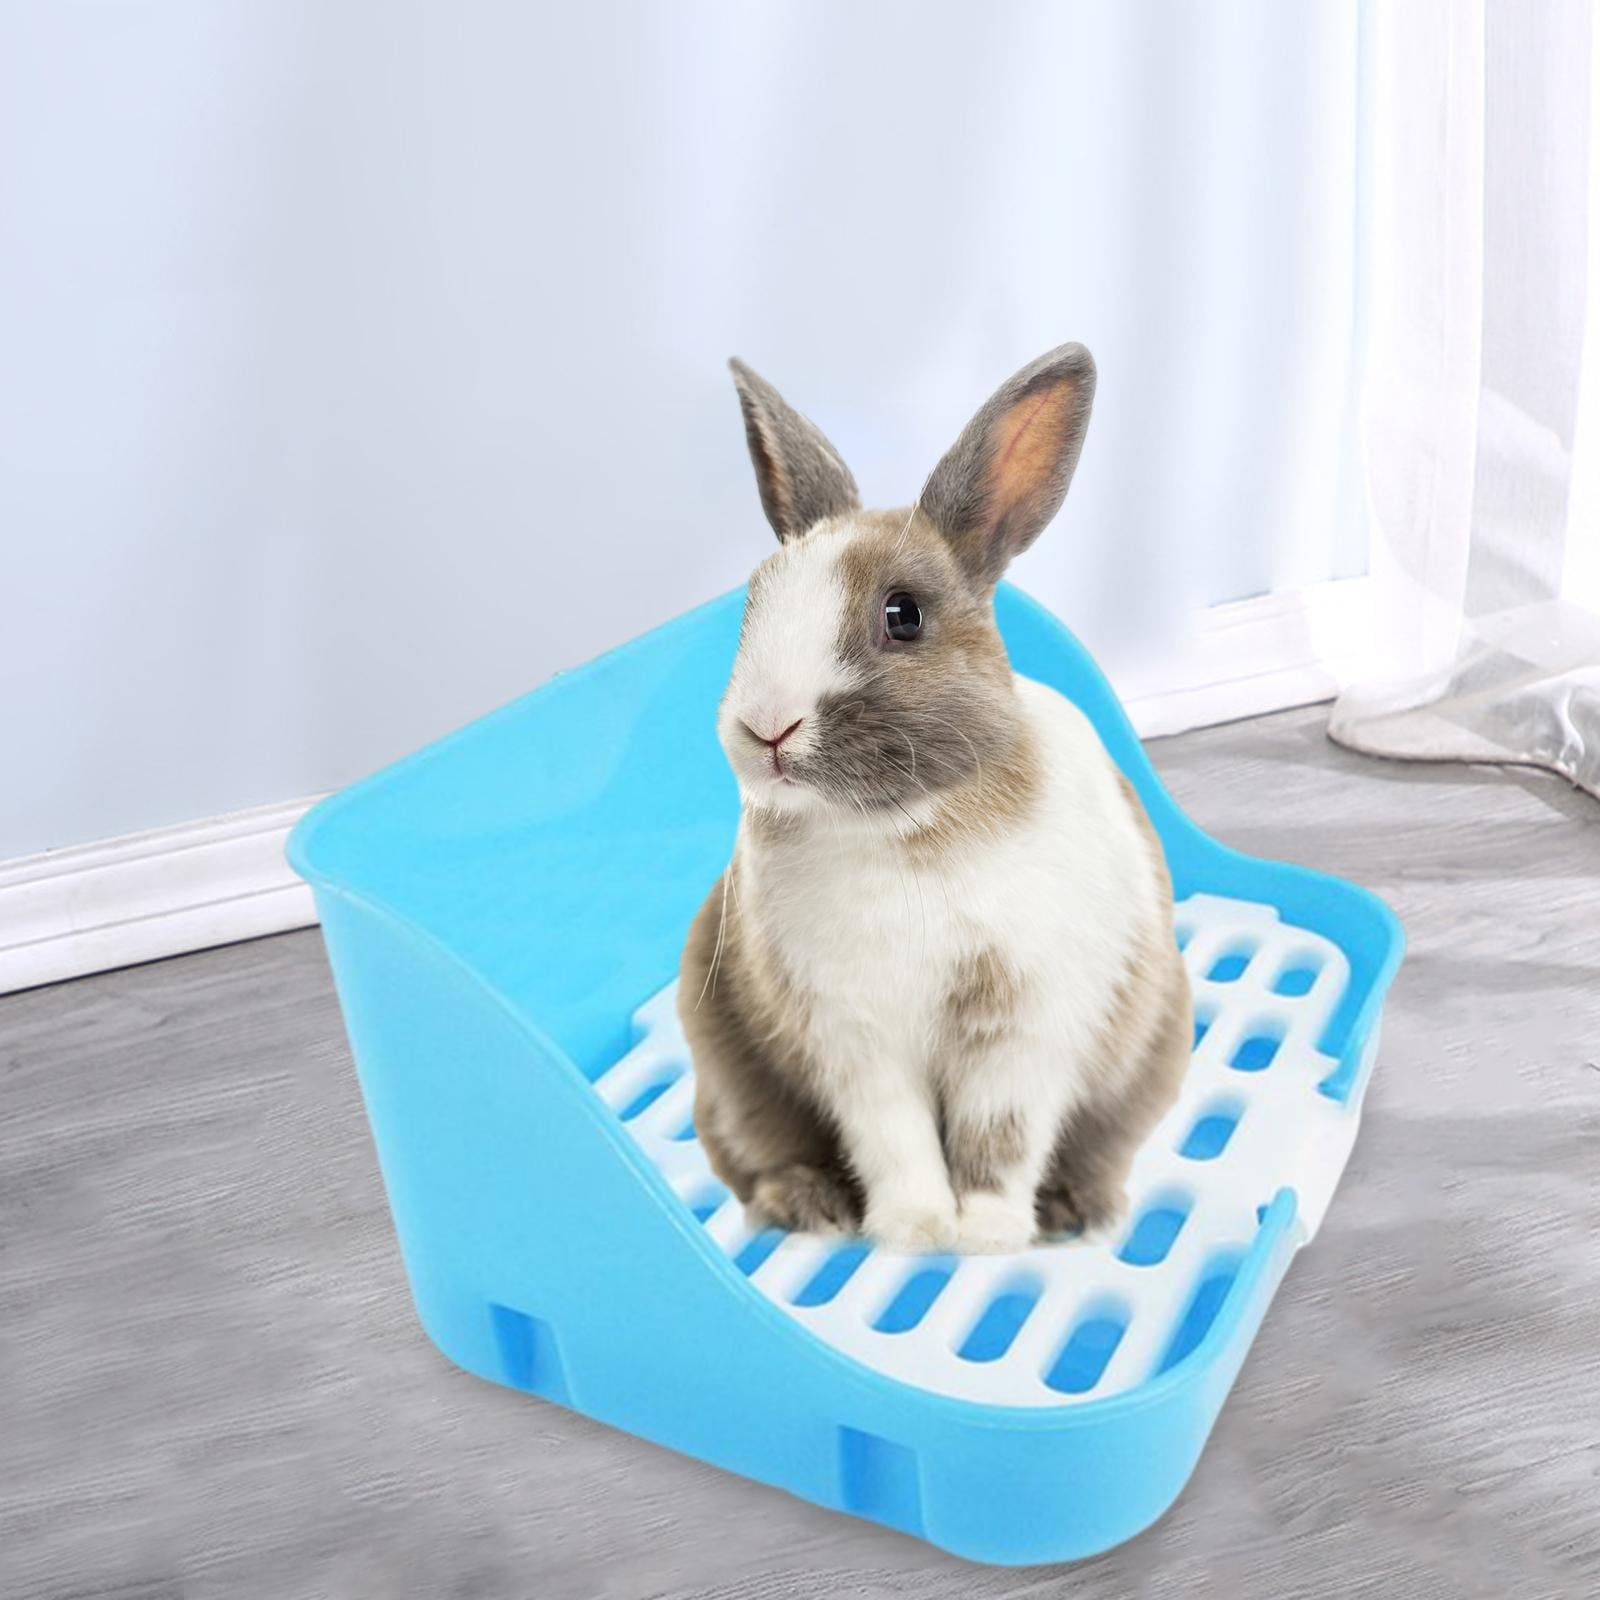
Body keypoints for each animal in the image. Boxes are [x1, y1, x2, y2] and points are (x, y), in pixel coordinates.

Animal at [679, 343, 1191, 1255]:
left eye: (904, 615)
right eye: (753, 603)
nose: (766, 728)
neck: (898, 830)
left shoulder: (1021, 1032)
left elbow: (1000, 1137)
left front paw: (986, 1235)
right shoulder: (855, 1042)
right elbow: (896, 1138)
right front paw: (915, 1231)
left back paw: (1077, 1214)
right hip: (729, 1077)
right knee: (759, 1157)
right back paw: (811, 1208)